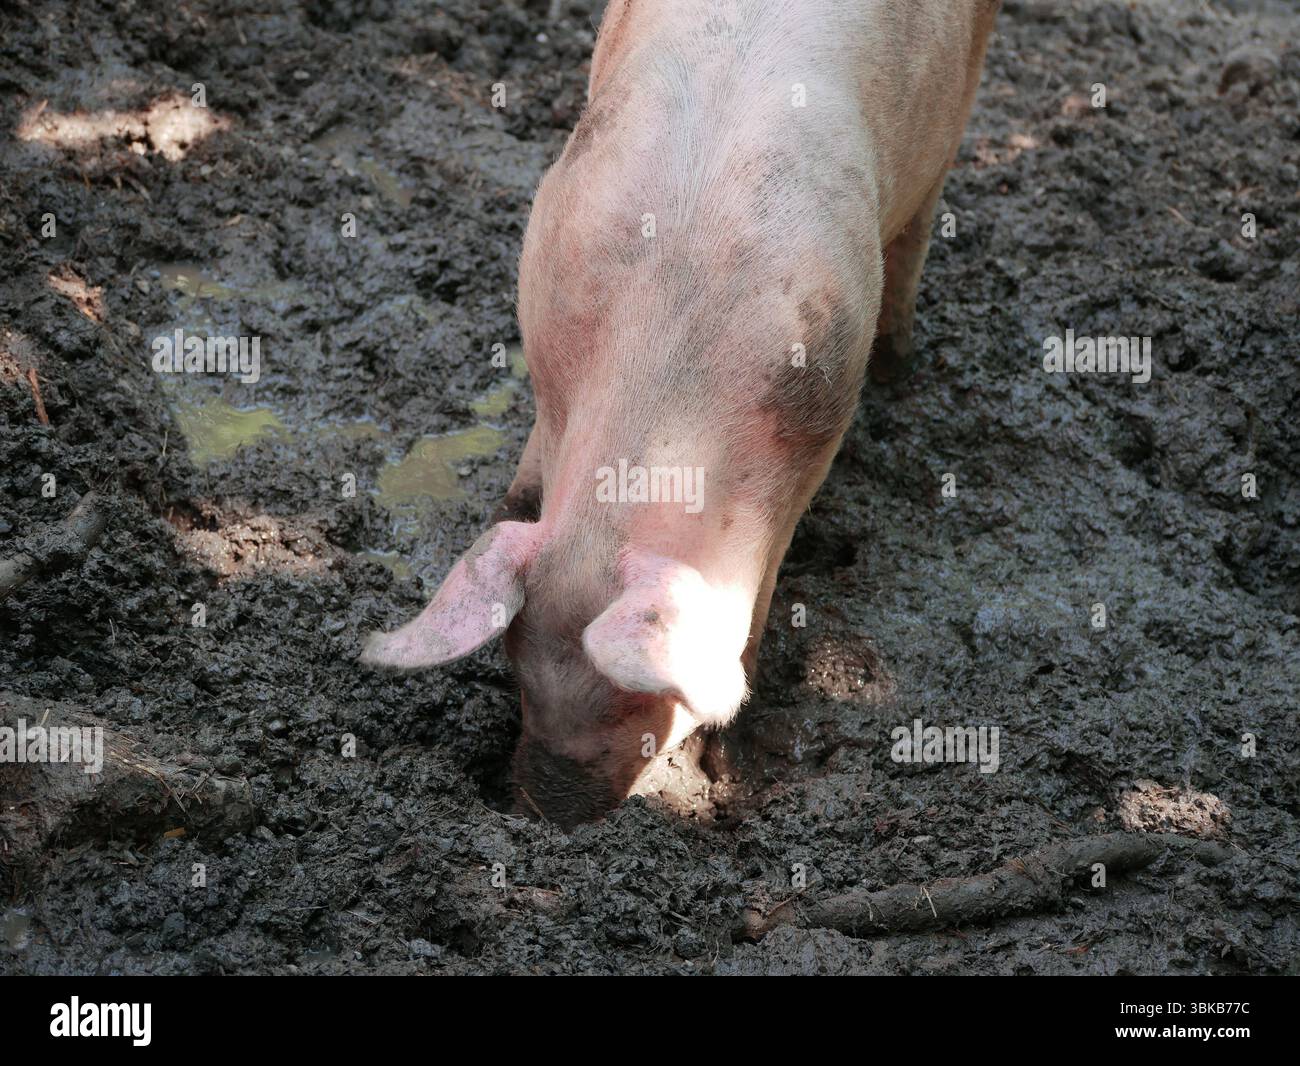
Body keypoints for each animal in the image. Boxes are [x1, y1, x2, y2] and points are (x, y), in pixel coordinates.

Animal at [362, 0, 1000, 825]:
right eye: (518, 669)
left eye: (642, 705)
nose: (548, 809)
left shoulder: (813, 435)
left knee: (921, 226)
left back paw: (900, 369)